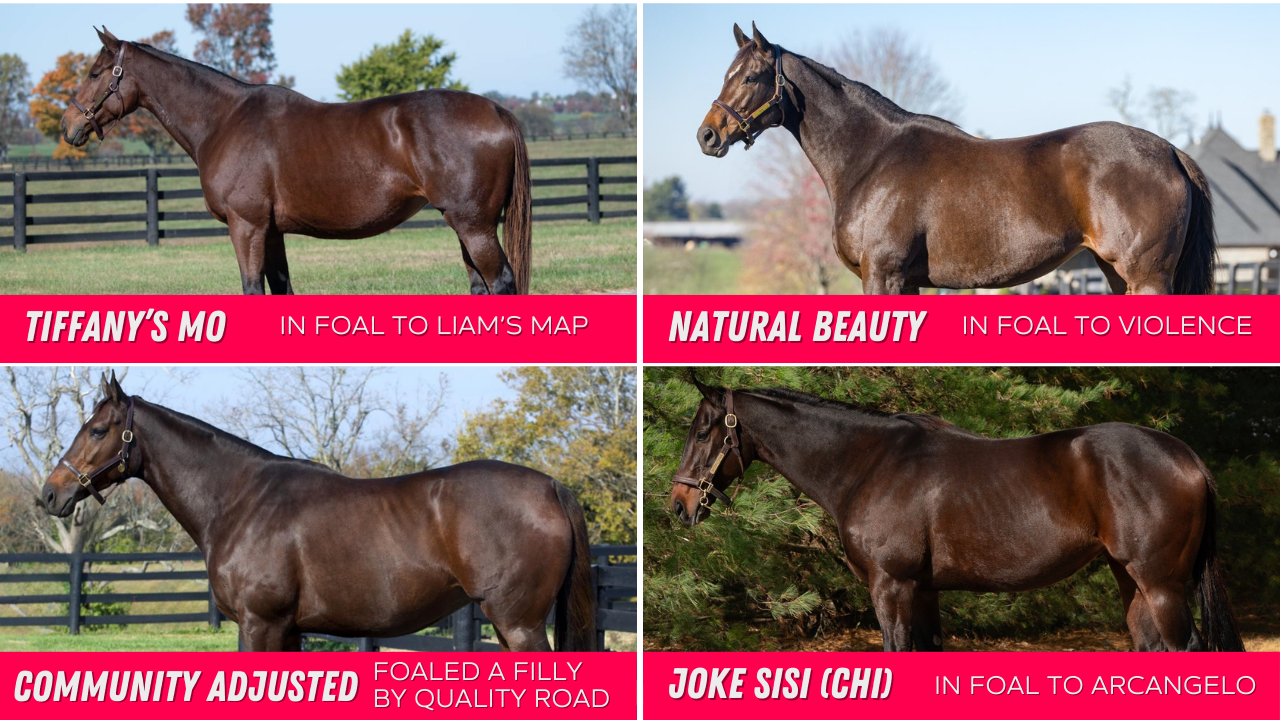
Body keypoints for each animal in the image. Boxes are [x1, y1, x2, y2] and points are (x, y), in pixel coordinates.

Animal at [41, 373, 595, 651]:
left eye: (97, 430)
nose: (50, 493)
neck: (240, 499)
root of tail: (550, 487)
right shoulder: (287, 630)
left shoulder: (260, 625)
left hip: (518, 624)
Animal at [61, 27, 531, 295]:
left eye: (95, 73)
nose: (68, 125)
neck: (224, 120)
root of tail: (497, 111)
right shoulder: (270, 232)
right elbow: (281, 289)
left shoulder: (246, 226)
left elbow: (253, 290)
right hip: (462, 224)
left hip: (474, 226)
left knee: (502, 283)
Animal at [668, 379, 1244, 652]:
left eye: (703, 432)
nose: (678, 505)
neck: (869, 464)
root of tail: (1186, 456)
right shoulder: (923, 590)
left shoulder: (892, 587)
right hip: (1131, 579)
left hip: (1162, 584)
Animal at [697, 22, 1217, 295]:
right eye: (726, 74)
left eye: (750, 77)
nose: (707, 135)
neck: (872, 158)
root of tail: (1171, 151)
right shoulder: (907, 282)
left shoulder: (882, 275)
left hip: (1148, 276)